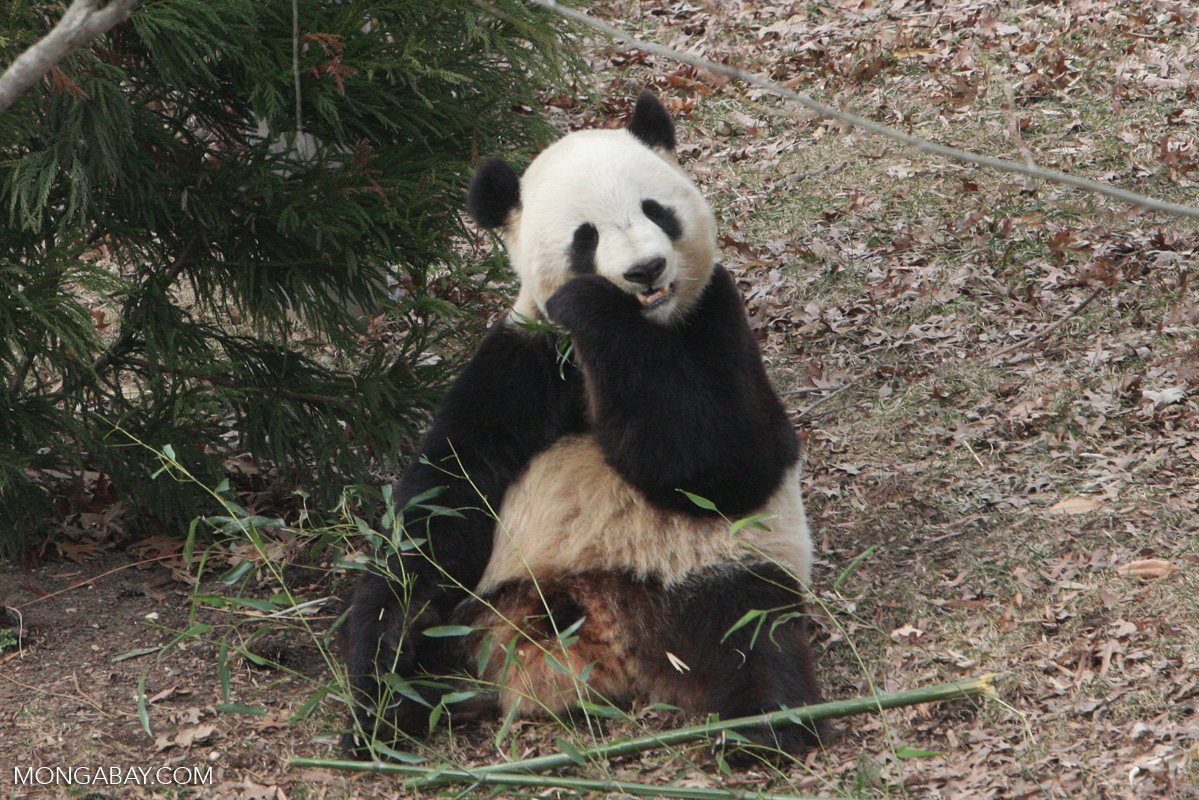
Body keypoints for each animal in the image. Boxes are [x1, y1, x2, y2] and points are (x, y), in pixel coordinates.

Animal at [344, 90, 825, 754]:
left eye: (655, 210)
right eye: (585, 235)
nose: (646, 269)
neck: (646, 328)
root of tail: (606, 639)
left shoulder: (715, 317)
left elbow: (725, 459)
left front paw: (597, 308)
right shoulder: (526, 357)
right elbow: (446, 492)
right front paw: (387, 646)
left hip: (716, 572)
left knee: (751, 640)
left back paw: (764, 730)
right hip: (489, 603)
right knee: (434, 644)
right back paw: (391, 707)